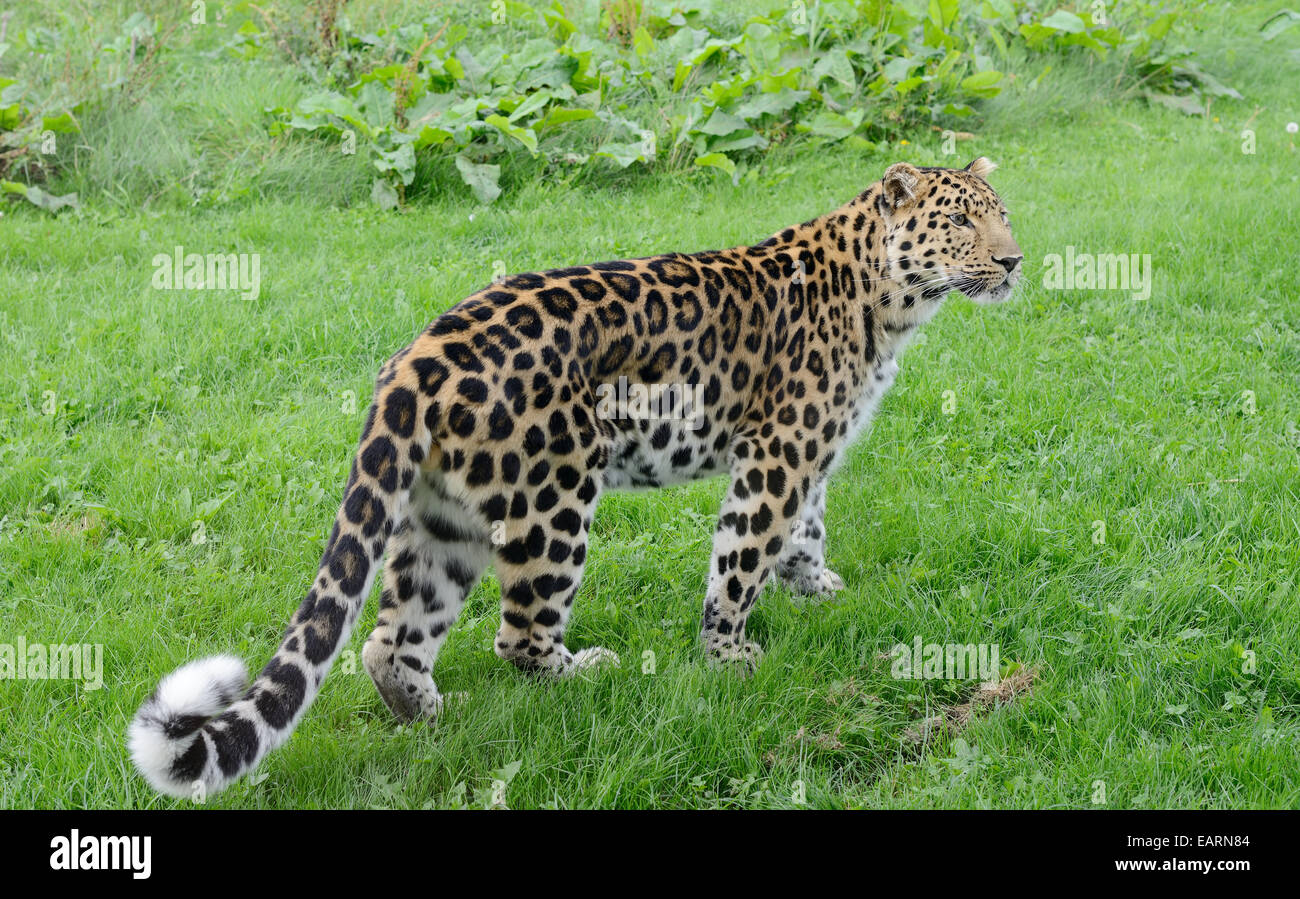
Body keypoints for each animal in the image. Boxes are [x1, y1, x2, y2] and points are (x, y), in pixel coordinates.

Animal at [129, 157, 1023, 798]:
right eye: (960, 221)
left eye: (1002, 212)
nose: (1014, 260)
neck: (891, 302)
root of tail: (418, 356)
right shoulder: (777, 451)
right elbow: (742, 555)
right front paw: (729, 655)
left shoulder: (811, 452)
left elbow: (805, 530)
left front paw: (818, 590)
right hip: (553, 499)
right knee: (518, 632)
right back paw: (585, 673)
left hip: (444, 520)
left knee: (389, 639)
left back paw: (434, 716)